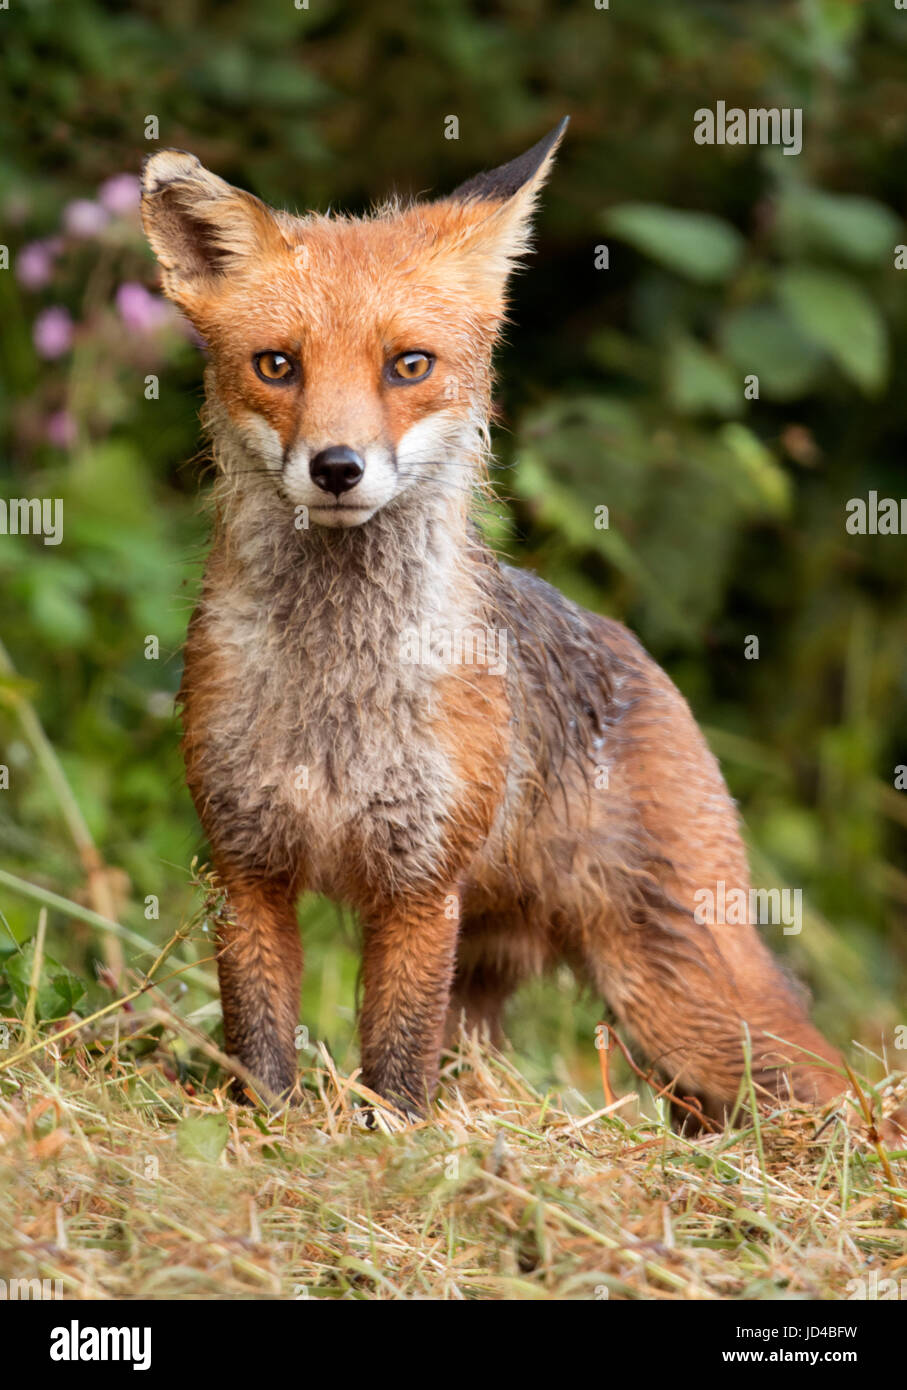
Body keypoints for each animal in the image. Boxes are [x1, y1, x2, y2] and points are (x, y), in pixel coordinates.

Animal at [140, 120, 844, 1124]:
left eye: (409, 365)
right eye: (277, 365)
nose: (337, 467)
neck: (336, 684)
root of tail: (636, 650)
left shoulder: (420, 886)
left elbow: (397, 1071)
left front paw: (388, 1146)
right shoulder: (247, 869)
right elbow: (263, 1057)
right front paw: (267, 1137)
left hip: (685, 999)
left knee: (844, 1088)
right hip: (510, 974)